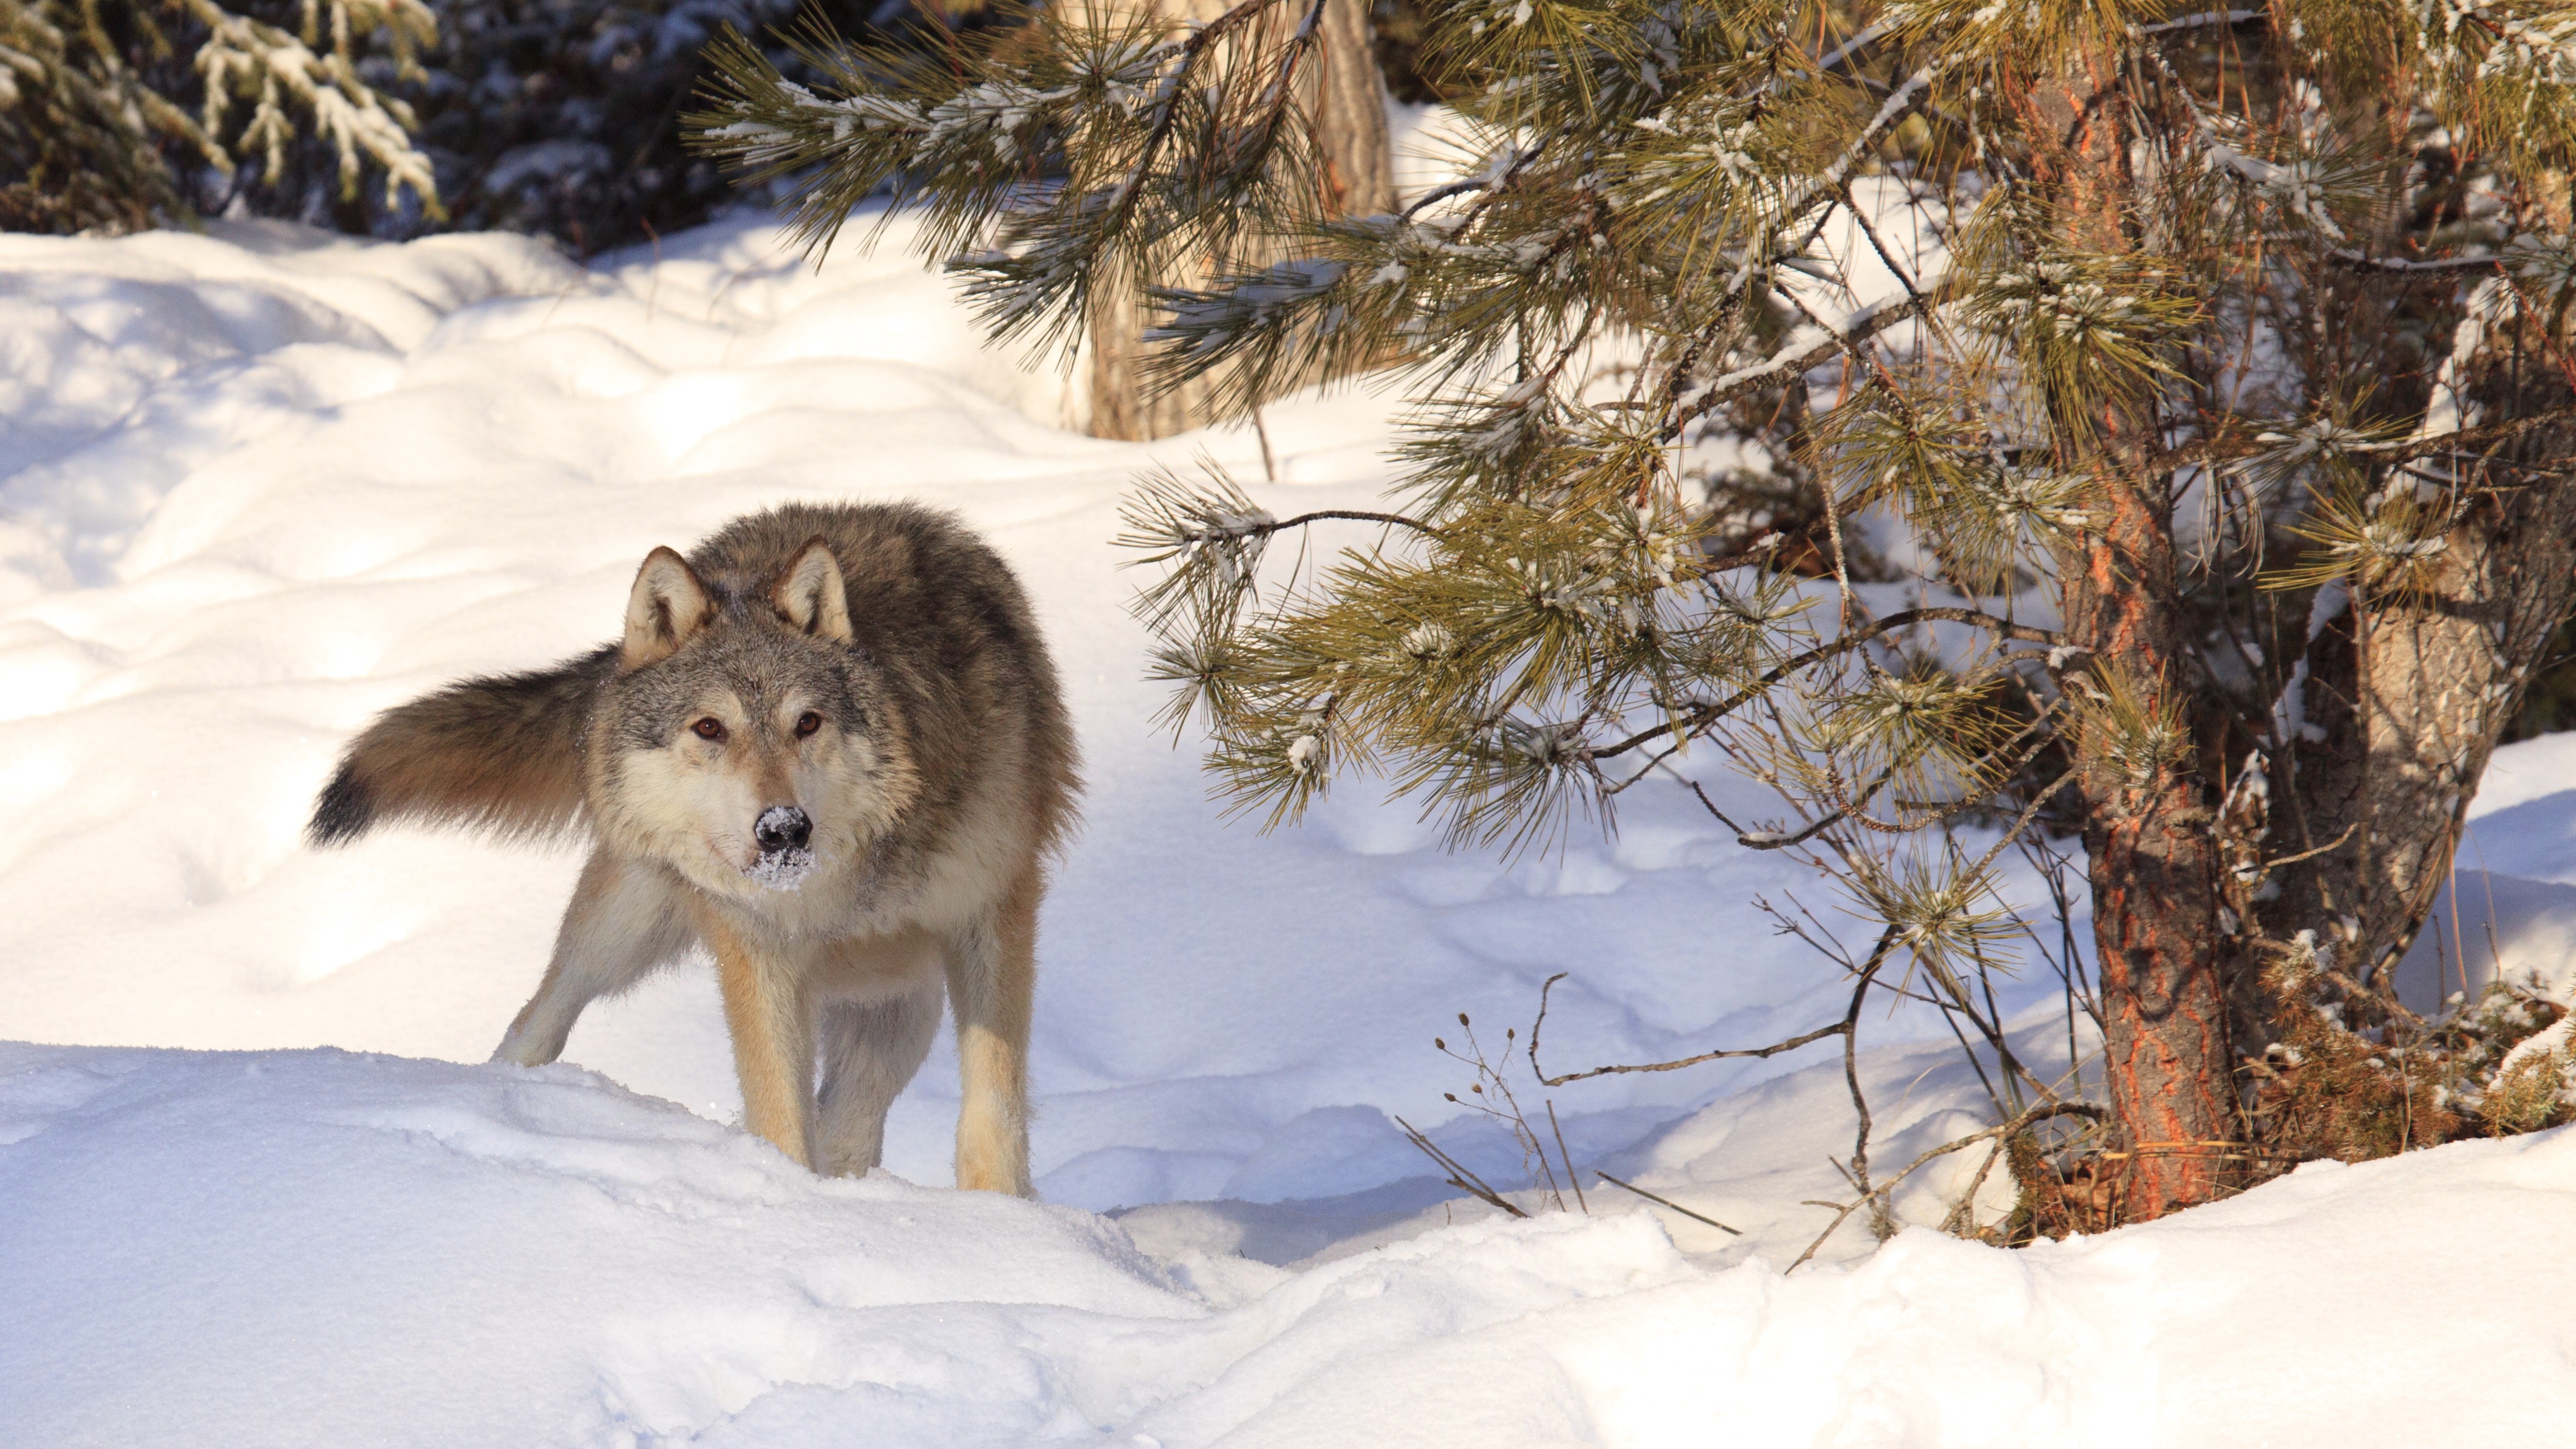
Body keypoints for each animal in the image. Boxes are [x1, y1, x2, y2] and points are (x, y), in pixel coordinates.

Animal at [308, 502, 1078, 1194]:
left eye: (807, 723)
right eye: (710, 728)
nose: (784, 828)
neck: (846, 888)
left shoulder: (994, 912)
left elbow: (992, 1104)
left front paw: (1000, 1217)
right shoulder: (757, 951)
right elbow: (779, 1115)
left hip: (896, 1014)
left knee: (849, 1121)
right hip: (622, 931)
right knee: (535, 1019)